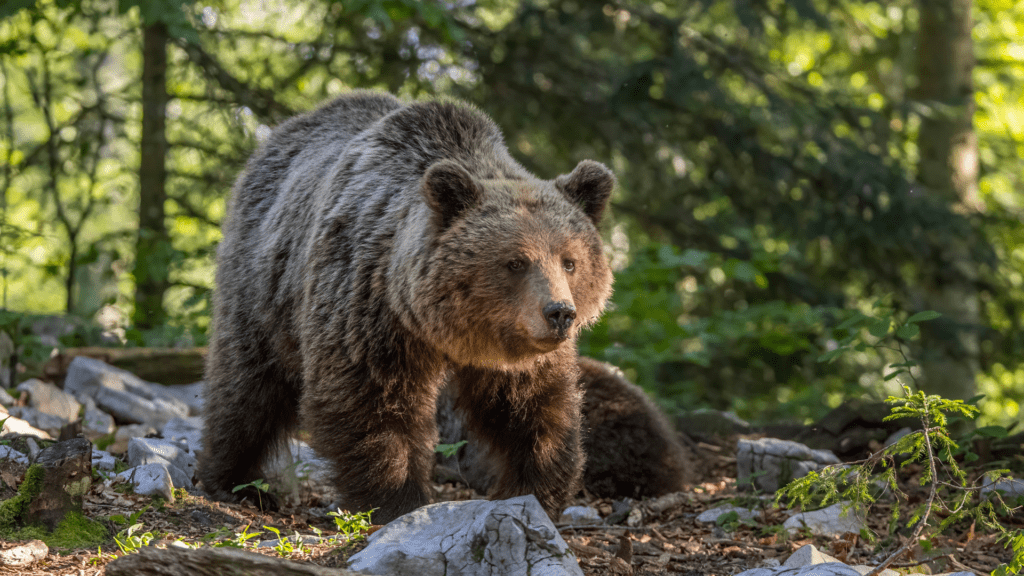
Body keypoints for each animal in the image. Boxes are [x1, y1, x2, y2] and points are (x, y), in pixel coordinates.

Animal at [198, 91, 616, 524]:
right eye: (516, 262)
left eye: (570, 261)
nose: (560, 313)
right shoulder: (369, 308)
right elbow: (370, 401)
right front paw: (397, 500)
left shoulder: (518, 351)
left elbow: (534, 409)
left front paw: (534, 491)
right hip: (264, 283)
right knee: (247, 386)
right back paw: (237, 482)